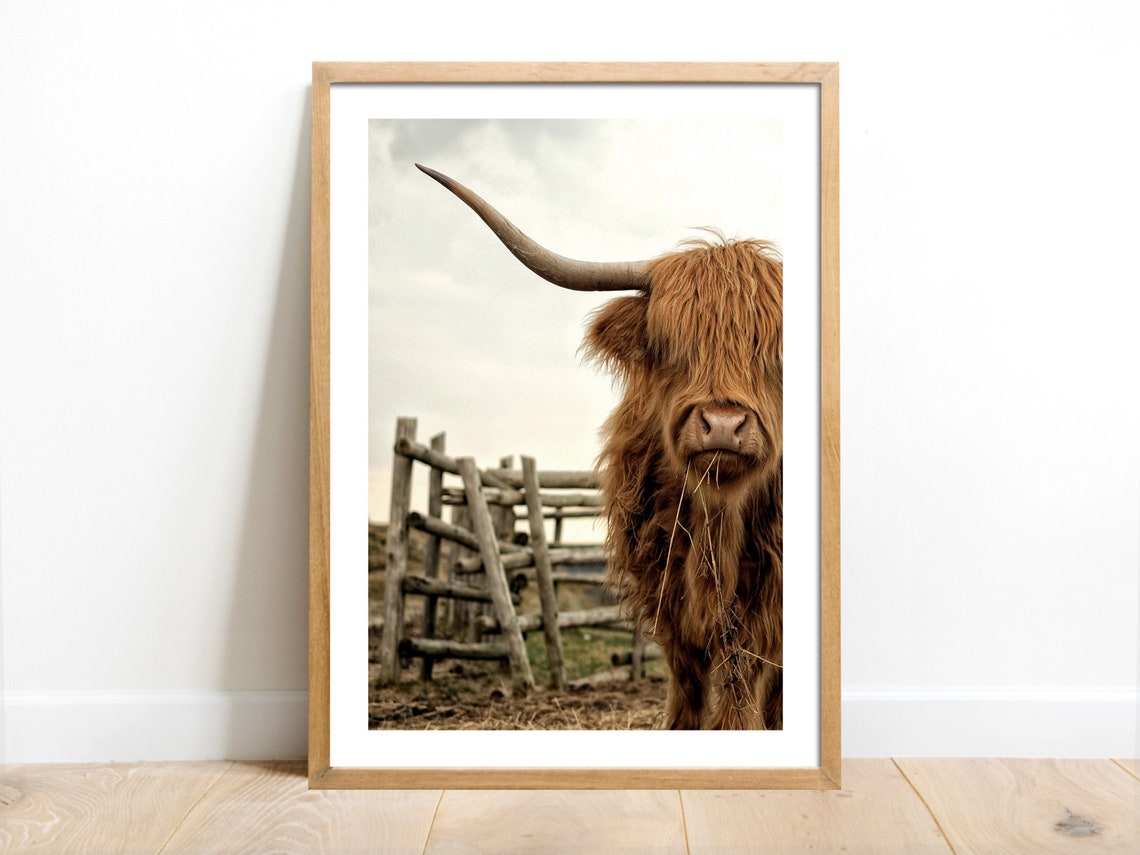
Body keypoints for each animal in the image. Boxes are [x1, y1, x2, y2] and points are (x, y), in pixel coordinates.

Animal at [418, 164, 782, 730]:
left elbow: (745, 683)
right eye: (671, 345)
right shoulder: (665, 592)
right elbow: (688, 683)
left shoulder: (767, 602)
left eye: (774, 349)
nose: (723, 425)